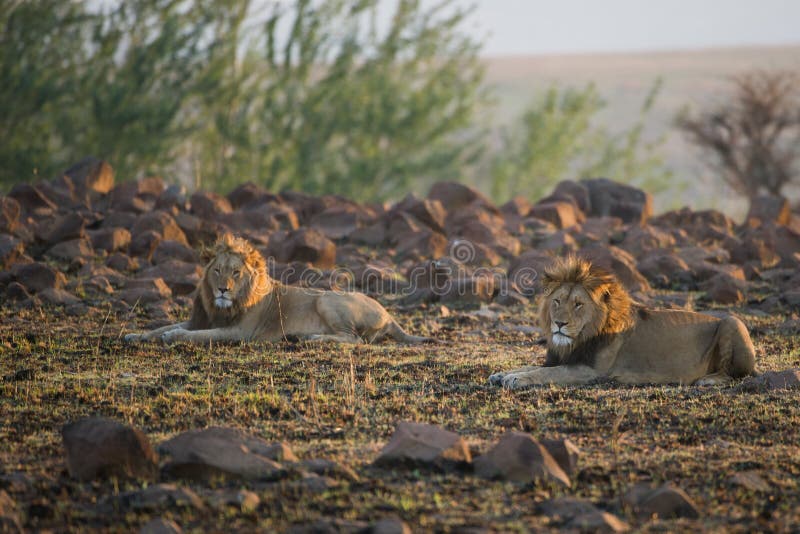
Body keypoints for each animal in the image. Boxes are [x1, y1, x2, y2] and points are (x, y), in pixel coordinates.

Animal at [124, 233, 432, 345]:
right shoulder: (200, 319)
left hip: (326, 299)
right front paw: (134, 335)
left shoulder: (240, 332)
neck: (222, 307)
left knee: (354, 339)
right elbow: (161, 327)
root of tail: (389, 314)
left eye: (236, 272)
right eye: (217, 270)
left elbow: (197, 336)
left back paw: (313, 339)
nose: (222, 289)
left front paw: (174, 336)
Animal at [489, 256, 756, 389]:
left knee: (737, 374)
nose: (559, 324)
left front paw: (516, 380)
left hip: (732, 322)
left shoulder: (590, 370)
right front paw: (501, 374)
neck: (577, 340)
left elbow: (548, 372)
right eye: (557, 301)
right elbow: (529, 365)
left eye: (578, 304)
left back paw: (708, 379)